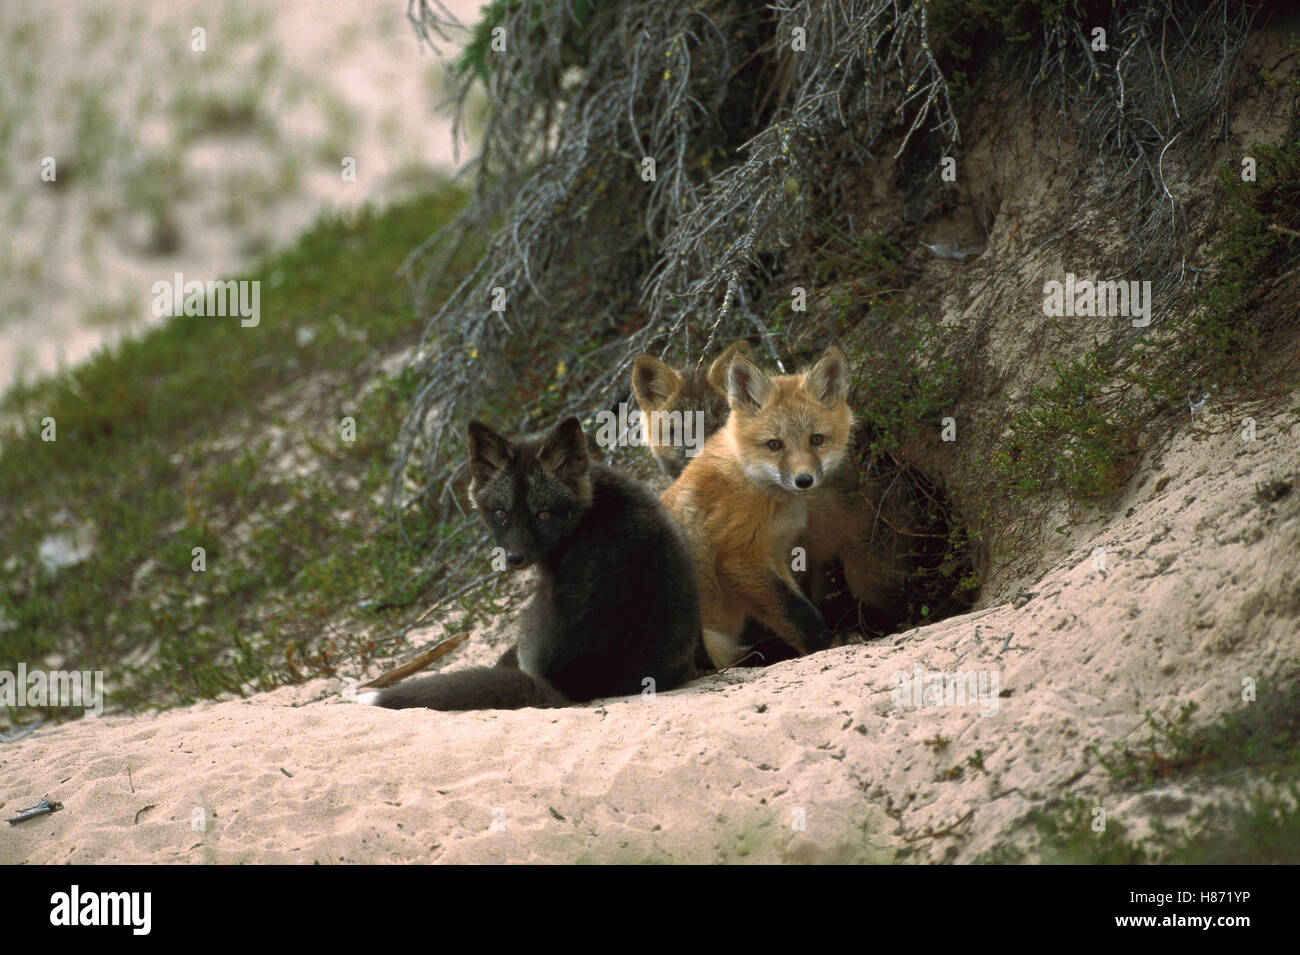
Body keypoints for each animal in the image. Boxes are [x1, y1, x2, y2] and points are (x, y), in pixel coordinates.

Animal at [660, 347, 856, 669]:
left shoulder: (775, 553)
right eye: (774, 444)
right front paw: (824, 642)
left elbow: (798, 603)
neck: (748, 479)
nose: (804, 480)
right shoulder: (740, 558)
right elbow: (792, 608)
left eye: (817, 440)